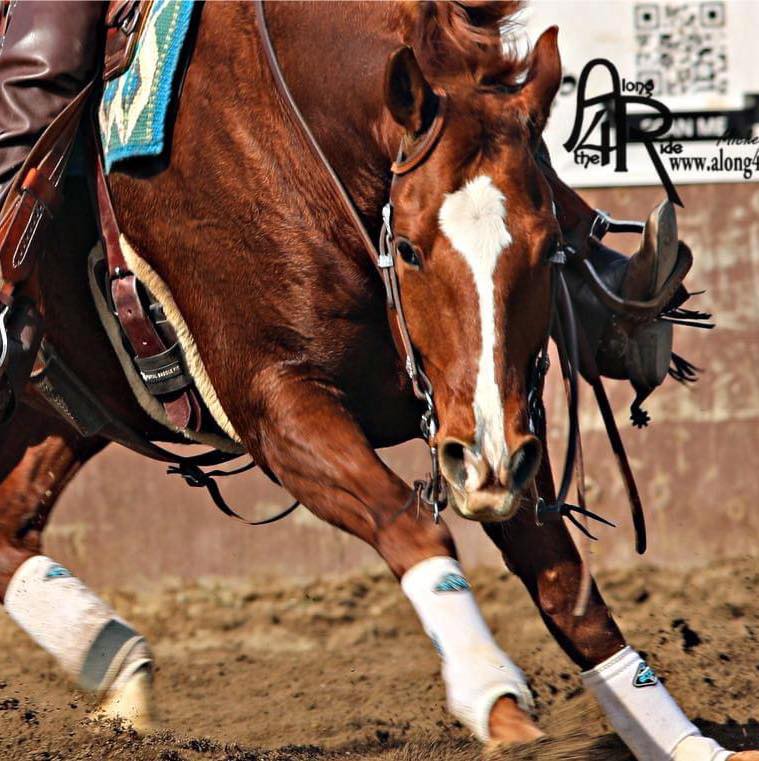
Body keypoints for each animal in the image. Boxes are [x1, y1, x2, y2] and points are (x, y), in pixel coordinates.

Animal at [0, 2, 754, 759]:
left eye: (549, 248)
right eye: (411, 249)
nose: (484, 459)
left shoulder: (499, 422)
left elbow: (567, 586)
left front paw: (686, 741)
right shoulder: (277, 403)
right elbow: (406, 523)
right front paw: (494, 696)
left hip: (64, 407)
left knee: (11, 523)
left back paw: (118, 666)